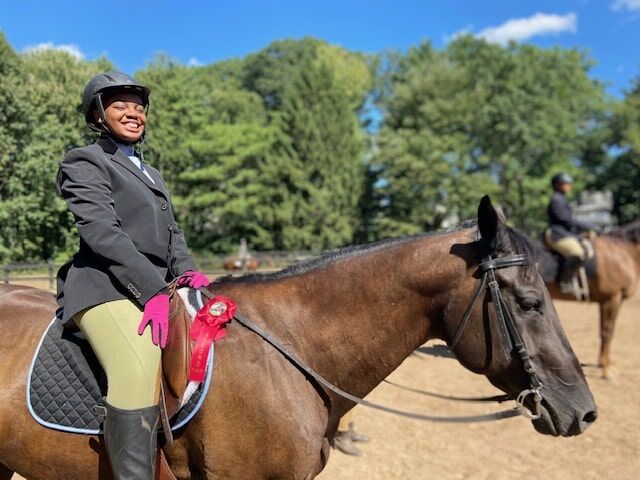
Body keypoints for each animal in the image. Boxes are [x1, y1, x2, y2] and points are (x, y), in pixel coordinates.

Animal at [539, 220, 640, 378]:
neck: (623, 252)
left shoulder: (606, 301)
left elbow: (604, 331)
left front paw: (602, 364)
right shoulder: (613, 298)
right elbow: (607, 332)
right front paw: (607, 371)